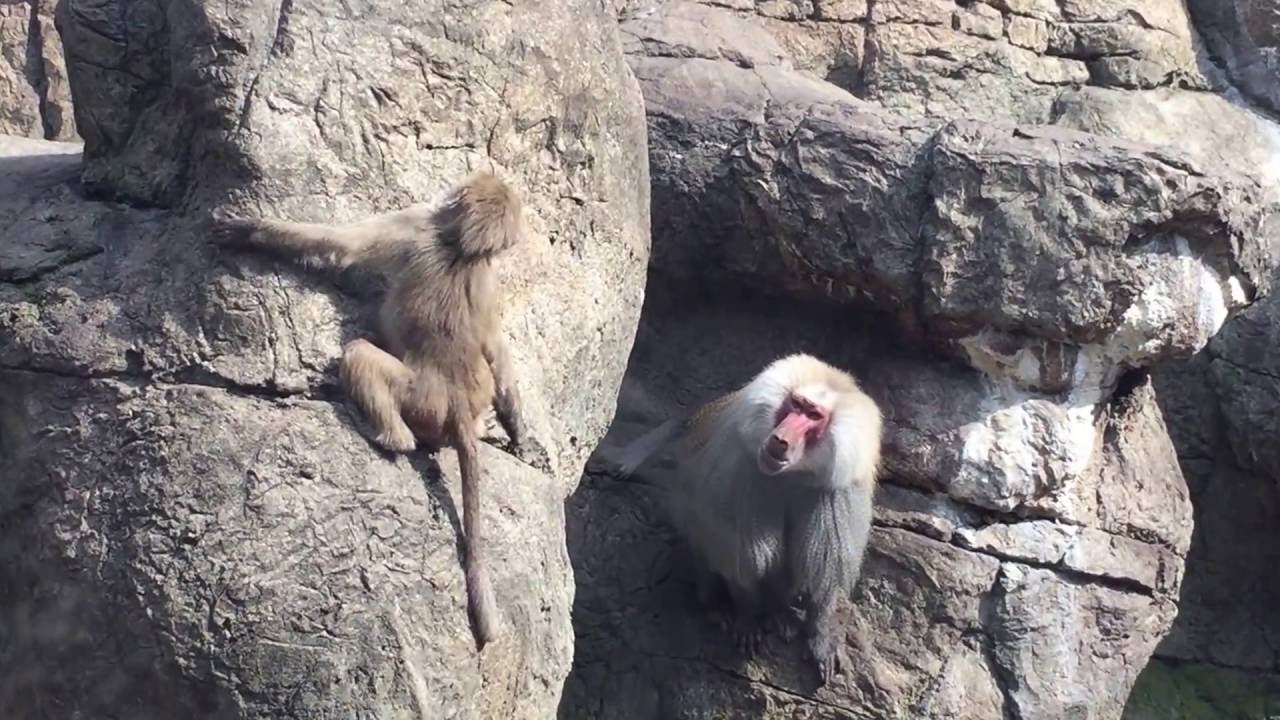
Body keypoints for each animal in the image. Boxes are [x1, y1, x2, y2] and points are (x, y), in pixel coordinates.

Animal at [209, 172, 547, 649]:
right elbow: (500, 356)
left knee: (358, 356)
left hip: (416, 397)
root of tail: (458, 406)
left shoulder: (413, 222)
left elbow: (338, 244)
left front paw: (249, 231)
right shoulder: (489, 279)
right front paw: (520, 434)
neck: (462, 248)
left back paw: (390, 437)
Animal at [611, 354, 882, 684]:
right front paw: (748, 618)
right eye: (795, 404)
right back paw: (717, 605)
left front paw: (820, 636)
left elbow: (824, 569)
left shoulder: (836, 489)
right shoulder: (737, 470)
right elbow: (740, 558)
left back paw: (780, 612)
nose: (780, 440)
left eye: (814, 415)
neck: (794, 473)